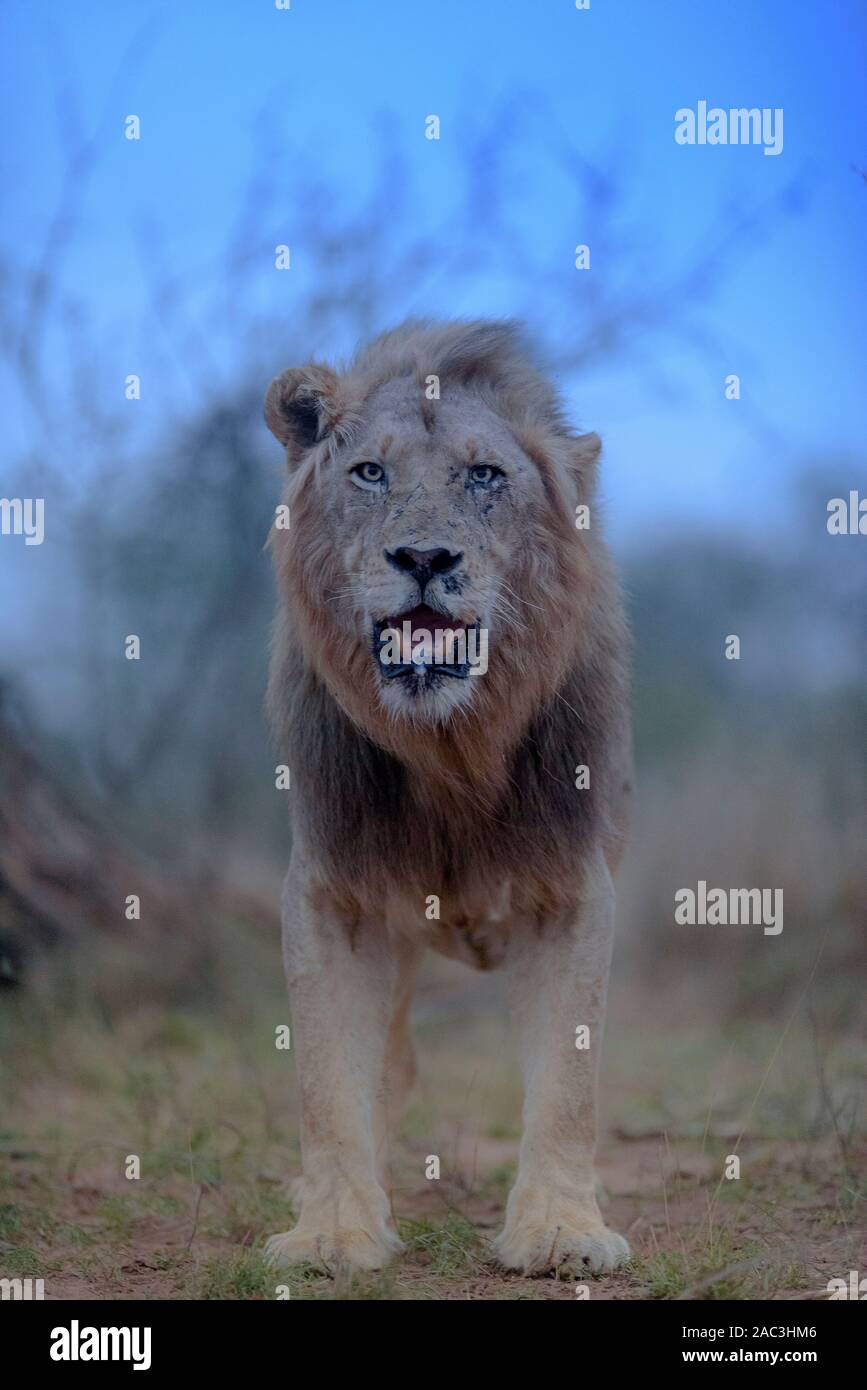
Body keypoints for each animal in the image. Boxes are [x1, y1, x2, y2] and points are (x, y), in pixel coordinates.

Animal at [263, 319, 632, 1277]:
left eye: (485, 476)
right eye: (369, 473)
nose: (425, 558)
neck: (450, 749)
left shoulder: (570, 888)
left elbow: (569, 1084)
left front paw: (560, 1230)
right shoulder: (333, 893)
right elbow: (327, 1080)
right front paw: (331, 1231)